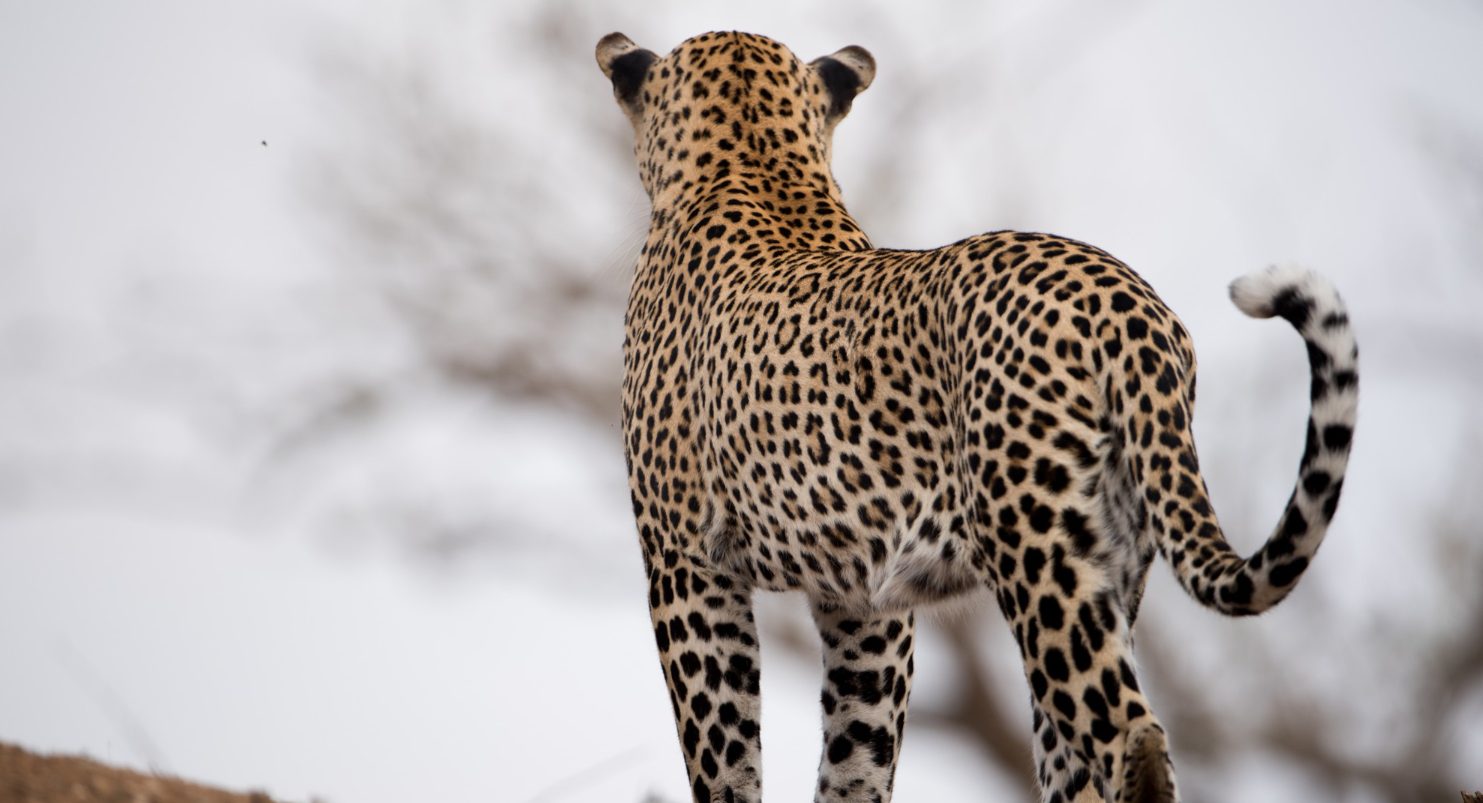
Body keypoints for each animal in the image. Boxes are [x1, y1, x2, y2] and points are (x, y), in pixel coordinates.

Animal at [595, 30, 1357, 803]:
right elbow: (856, 755)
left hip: (1035, 550)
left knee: (1131, 734)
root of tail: (1127, 301)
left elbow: (723, 754)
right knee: (1073, 756)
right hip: (1116, 559)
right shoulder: (862, 601)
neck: (753, 164)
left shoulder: (685, 565)